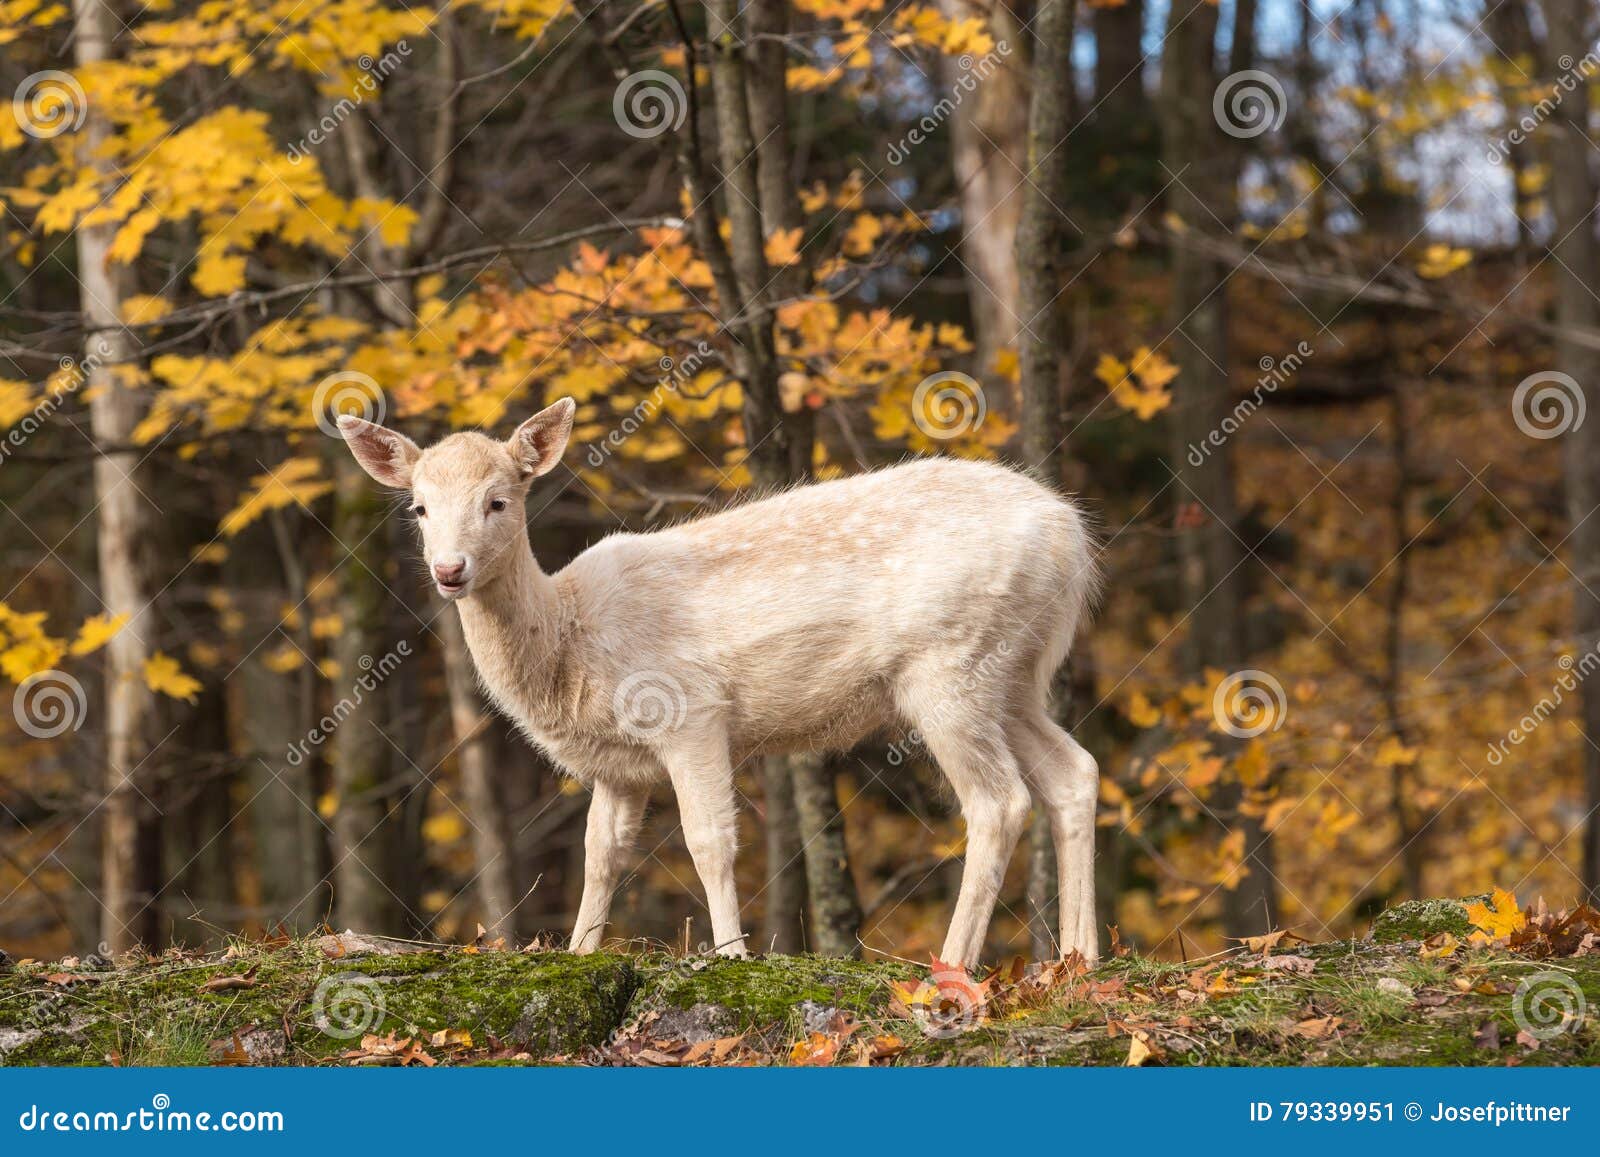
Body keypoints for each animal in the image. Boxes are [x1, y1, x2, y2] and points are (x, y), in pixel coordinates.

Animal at [338, 397, 1101, 966]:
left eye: (498, 501)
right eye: (419, 508)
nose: (450, 570)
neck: (569, 644)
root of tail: (1072, 537)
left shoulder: (690, 714)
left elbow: (710, 840)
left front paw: (732, 954)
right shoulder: (618, 767)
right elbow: (600, 855)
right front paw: (582, 951)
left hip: (948, 667)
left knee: (999, 801)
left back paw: (951, 966)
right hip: (1013, 672)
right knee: (1074, 770)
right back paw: (1080, 960)